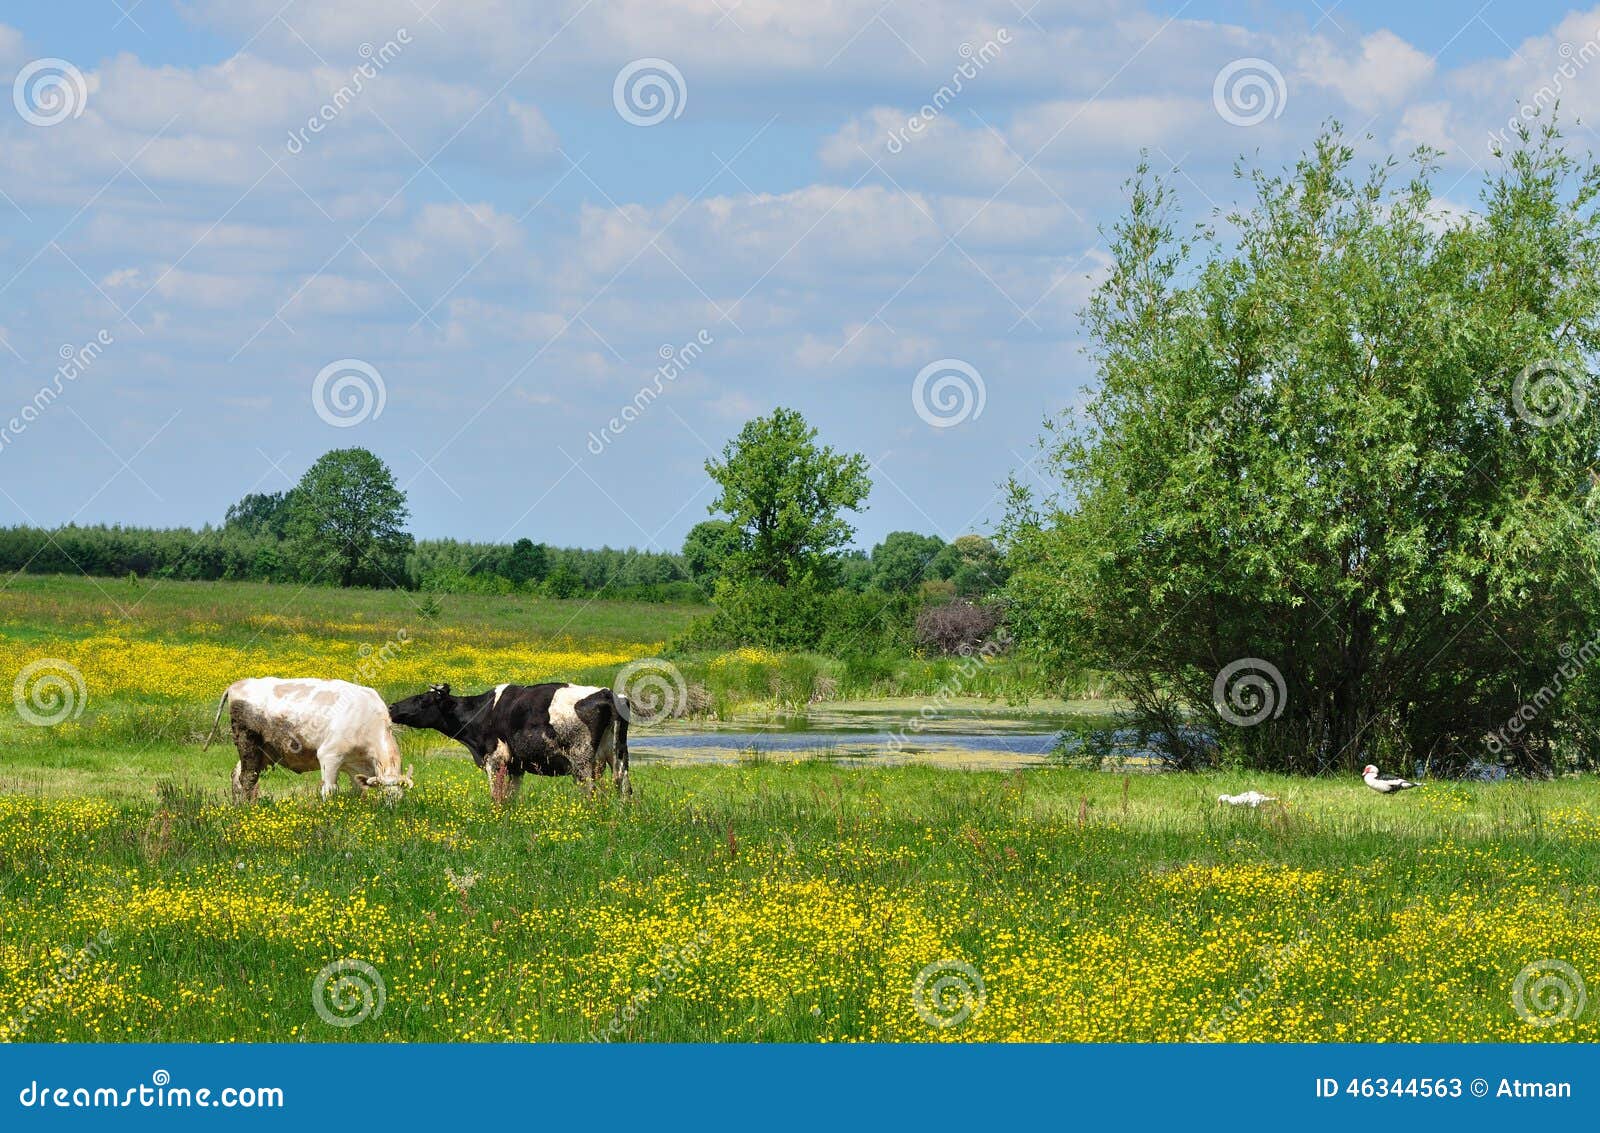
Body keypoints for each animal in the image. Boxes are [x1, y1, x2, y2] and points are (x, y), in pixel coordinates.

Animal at [203, 677, 413, 802]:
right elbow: (329, 790)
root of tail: (237, 684)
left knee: (237, 774)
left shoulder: (354, 767)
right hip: (248, 741)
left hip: (264, 752)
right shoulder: (330, 756)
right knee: (247, 778)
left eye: (401, 794)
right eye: (386, 793)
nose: (393, 808)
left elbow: (359, 790)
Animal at [387, 682, 631, 802]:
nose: (392, 707)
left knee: (590, 794)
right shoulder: (515, 766)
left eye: (422, 699)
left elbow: (496, 796)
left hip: (582, 762)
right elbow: (511, 797)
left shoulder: (495, 759)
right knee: (624, 789)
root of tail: (607, 692)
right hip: (619, 756)